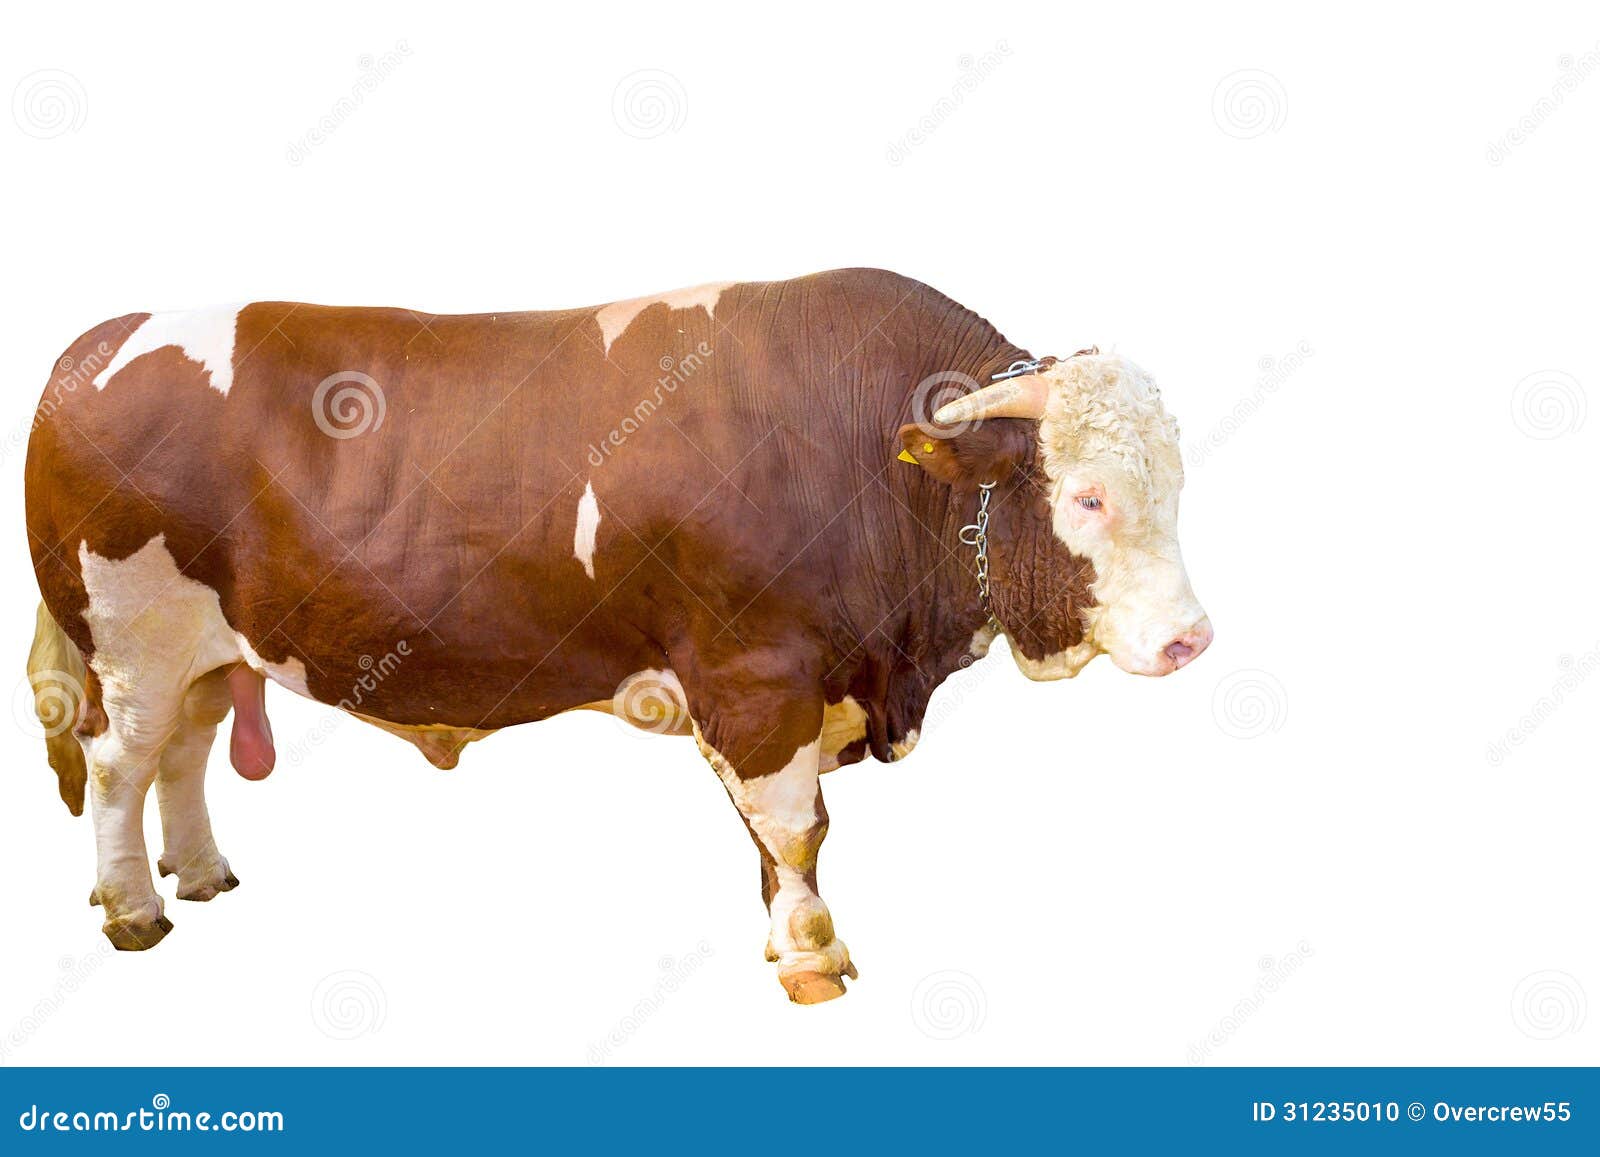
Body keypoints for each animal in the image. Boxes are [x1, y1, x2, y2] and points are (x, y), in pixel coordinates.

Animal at [24, 268, 1211, 1003]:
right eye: (1089, 497)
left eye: (1175, 486)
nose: (1192, 639)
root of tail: (96, 341)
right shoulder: (755, 674)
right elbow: (795, 830)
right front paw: (812, 957)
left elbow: (775, 837)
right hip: (130, 638)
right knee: (121, 762)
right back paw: (135, 909)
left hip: (205, 647)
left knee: (183, 752)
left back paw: (201, 871)